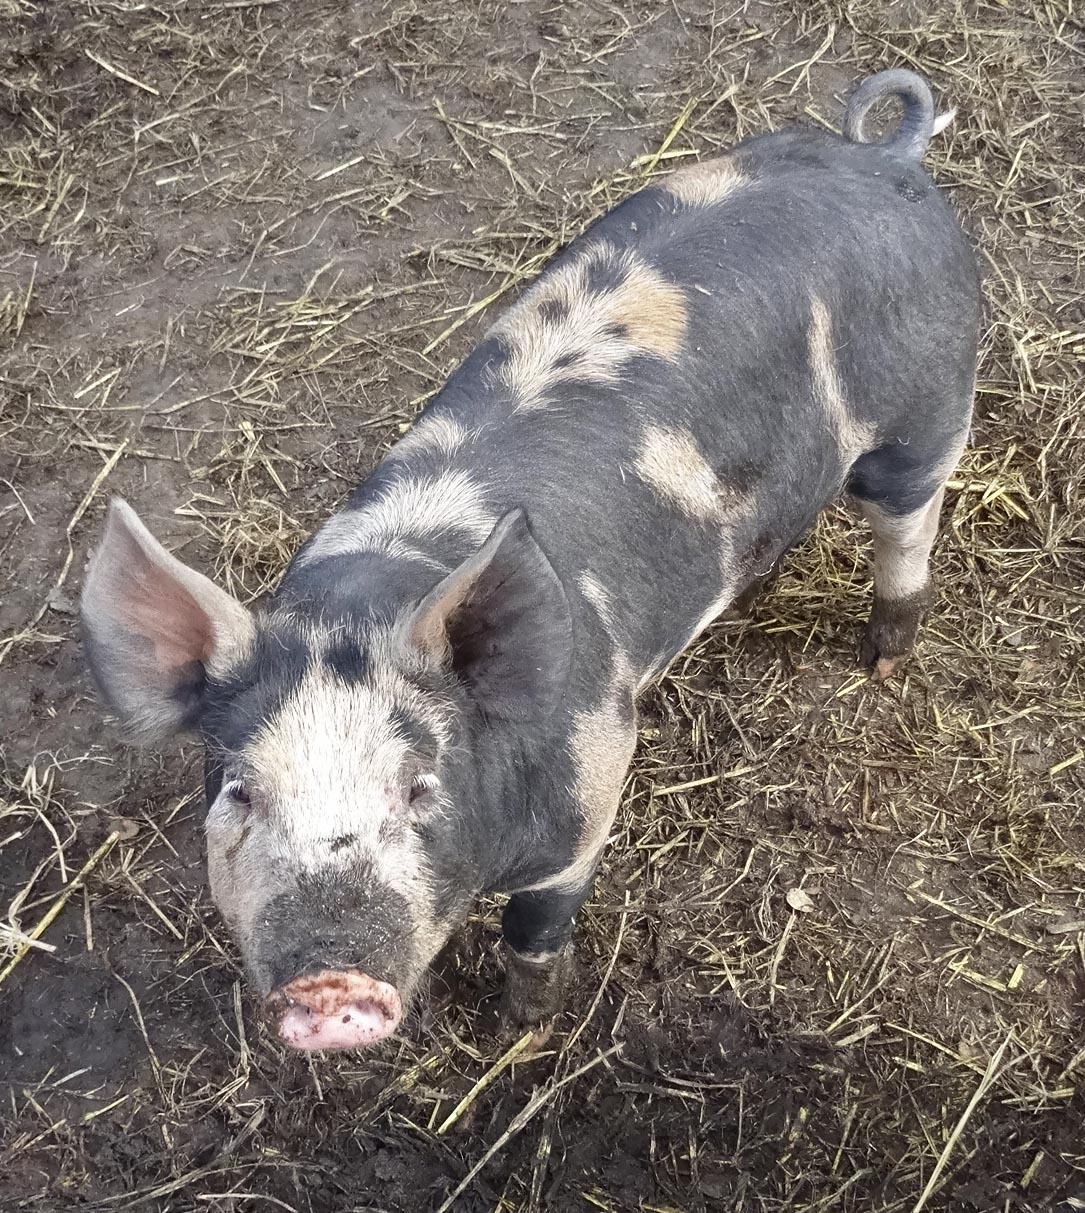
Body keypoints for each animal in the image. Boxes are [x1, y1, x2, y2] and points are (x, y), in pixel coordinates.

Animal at [81, 70, 980, 1050]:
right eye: (240, 790)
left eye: (419, 786)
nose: (328, 983)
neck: (374, 594)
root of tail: (883, 157)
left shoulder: (593, 779)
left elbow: (535, 926)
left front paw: (524, 1027)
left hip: (925, 417)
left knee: (906, 523)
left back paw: (883, 656)